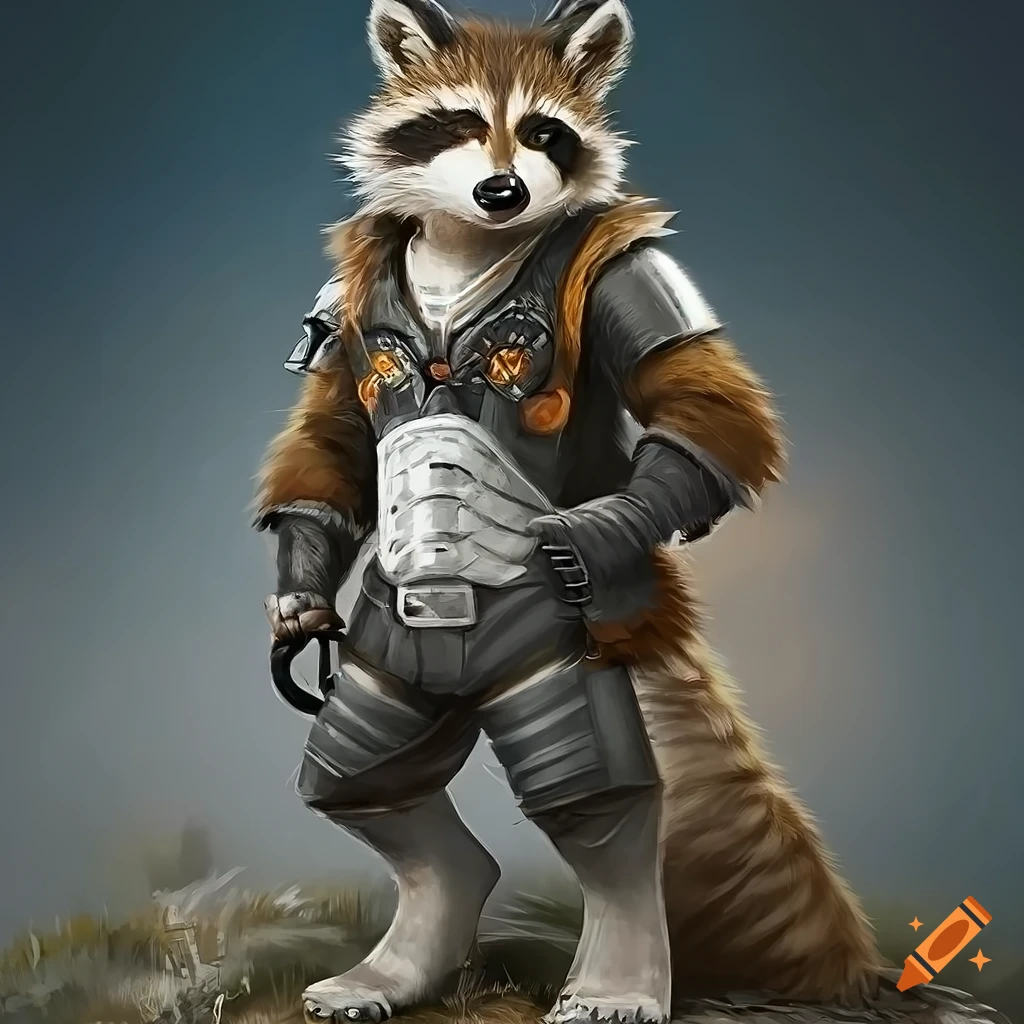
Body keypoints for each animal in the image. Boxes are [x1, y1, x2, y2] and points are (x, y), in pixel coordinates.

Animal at [255, 2, 883, 1022]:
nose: (504, 190)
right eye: (460, 122)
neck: (467, 247)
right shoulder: (346, 320)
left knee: (585, 785)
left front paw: (590, 533)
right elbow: (334, 439)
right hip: (389, 653)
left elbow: (706, 418)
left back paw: (615, 979)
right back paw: (424, 932)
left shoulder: (628, 269)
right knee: (363, 772)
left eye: (546, 131)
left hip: (544, 640)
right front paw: (298, 598)